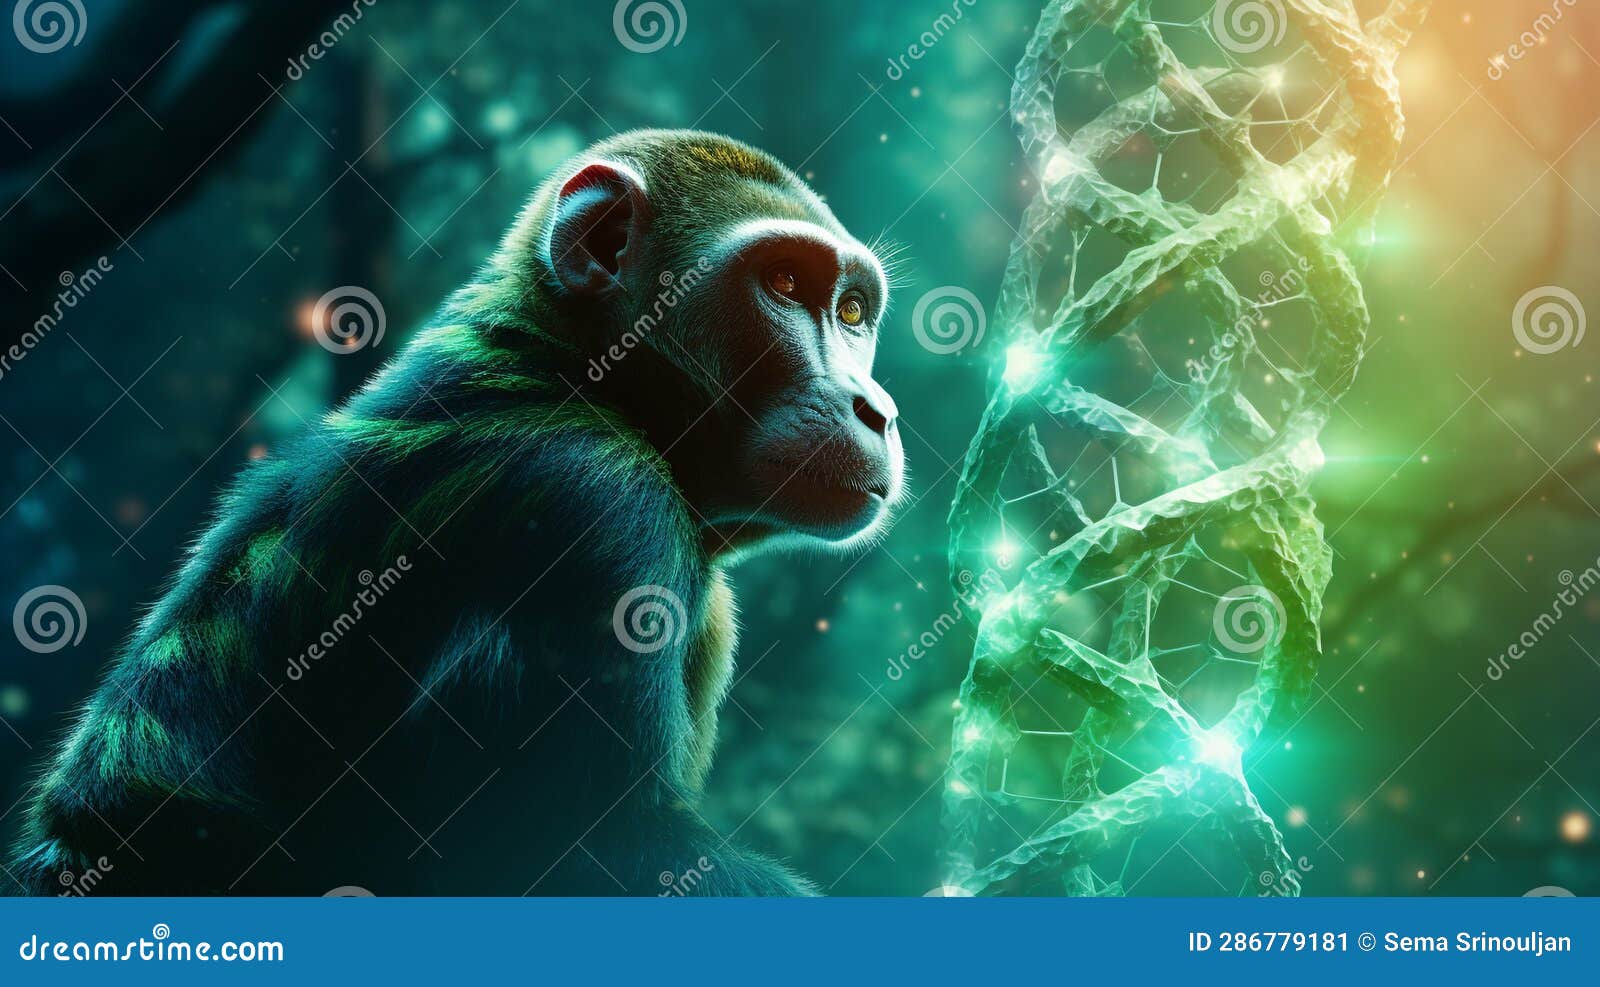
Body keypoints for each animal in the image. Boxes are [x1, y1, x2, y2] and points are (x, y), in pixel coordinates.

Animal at [4, 130, 904, 896]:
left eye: (853, 313)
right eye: (784, 284)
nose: (877, 409)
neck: (580, 373)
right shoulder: (597, 503)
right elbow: (607, 851)